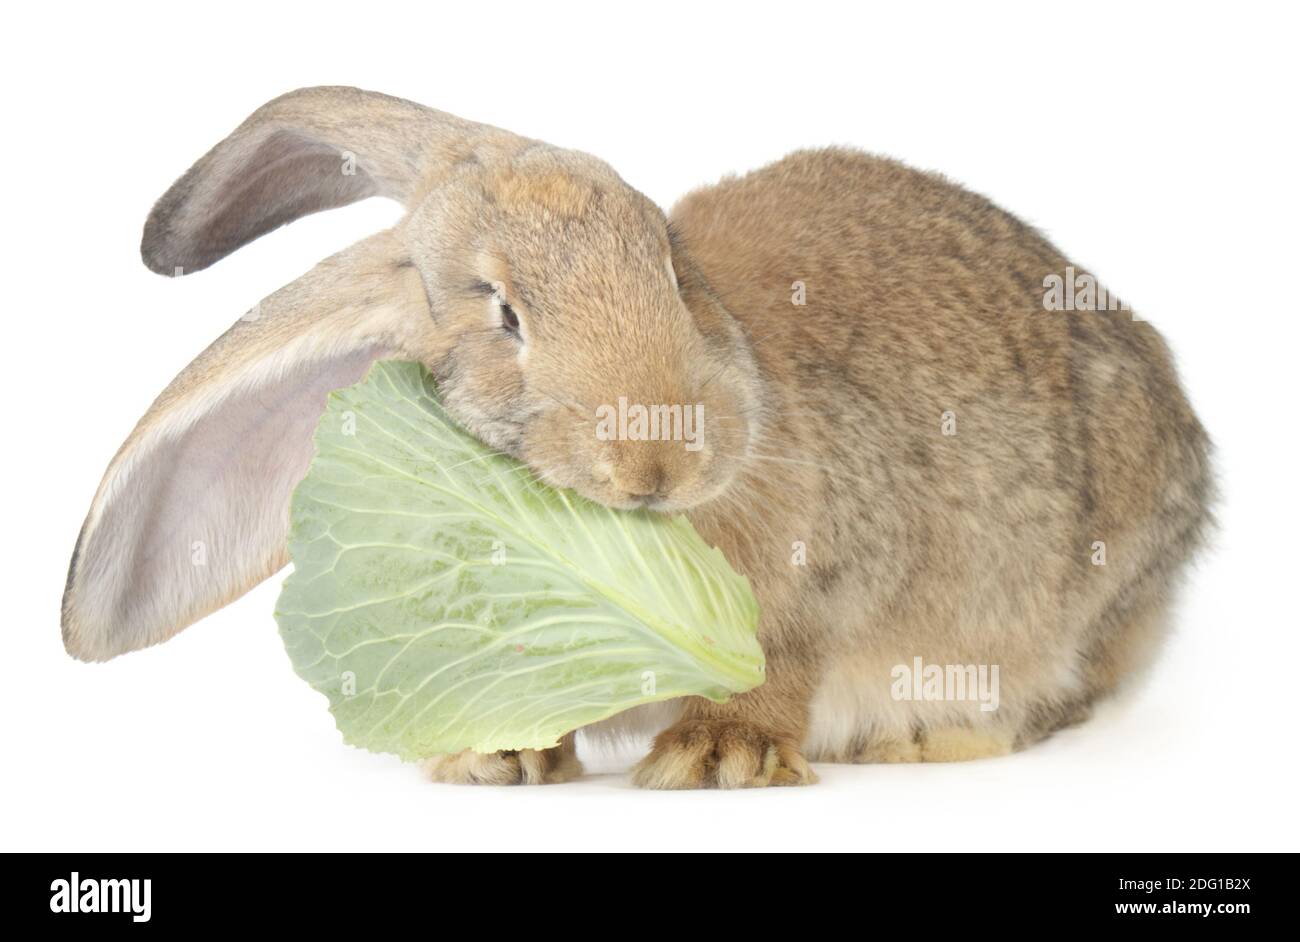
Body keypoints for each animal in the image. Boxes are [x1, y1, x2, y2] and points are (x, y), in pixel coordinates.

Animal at [62, 86, 1213, 788]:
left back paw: (927, 733)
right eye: (503, 314)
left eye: (664, 256)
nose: (657, 462)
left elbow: (779, 666)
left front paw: (720, 759)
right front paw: (496, 761)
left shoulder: (822, 585)